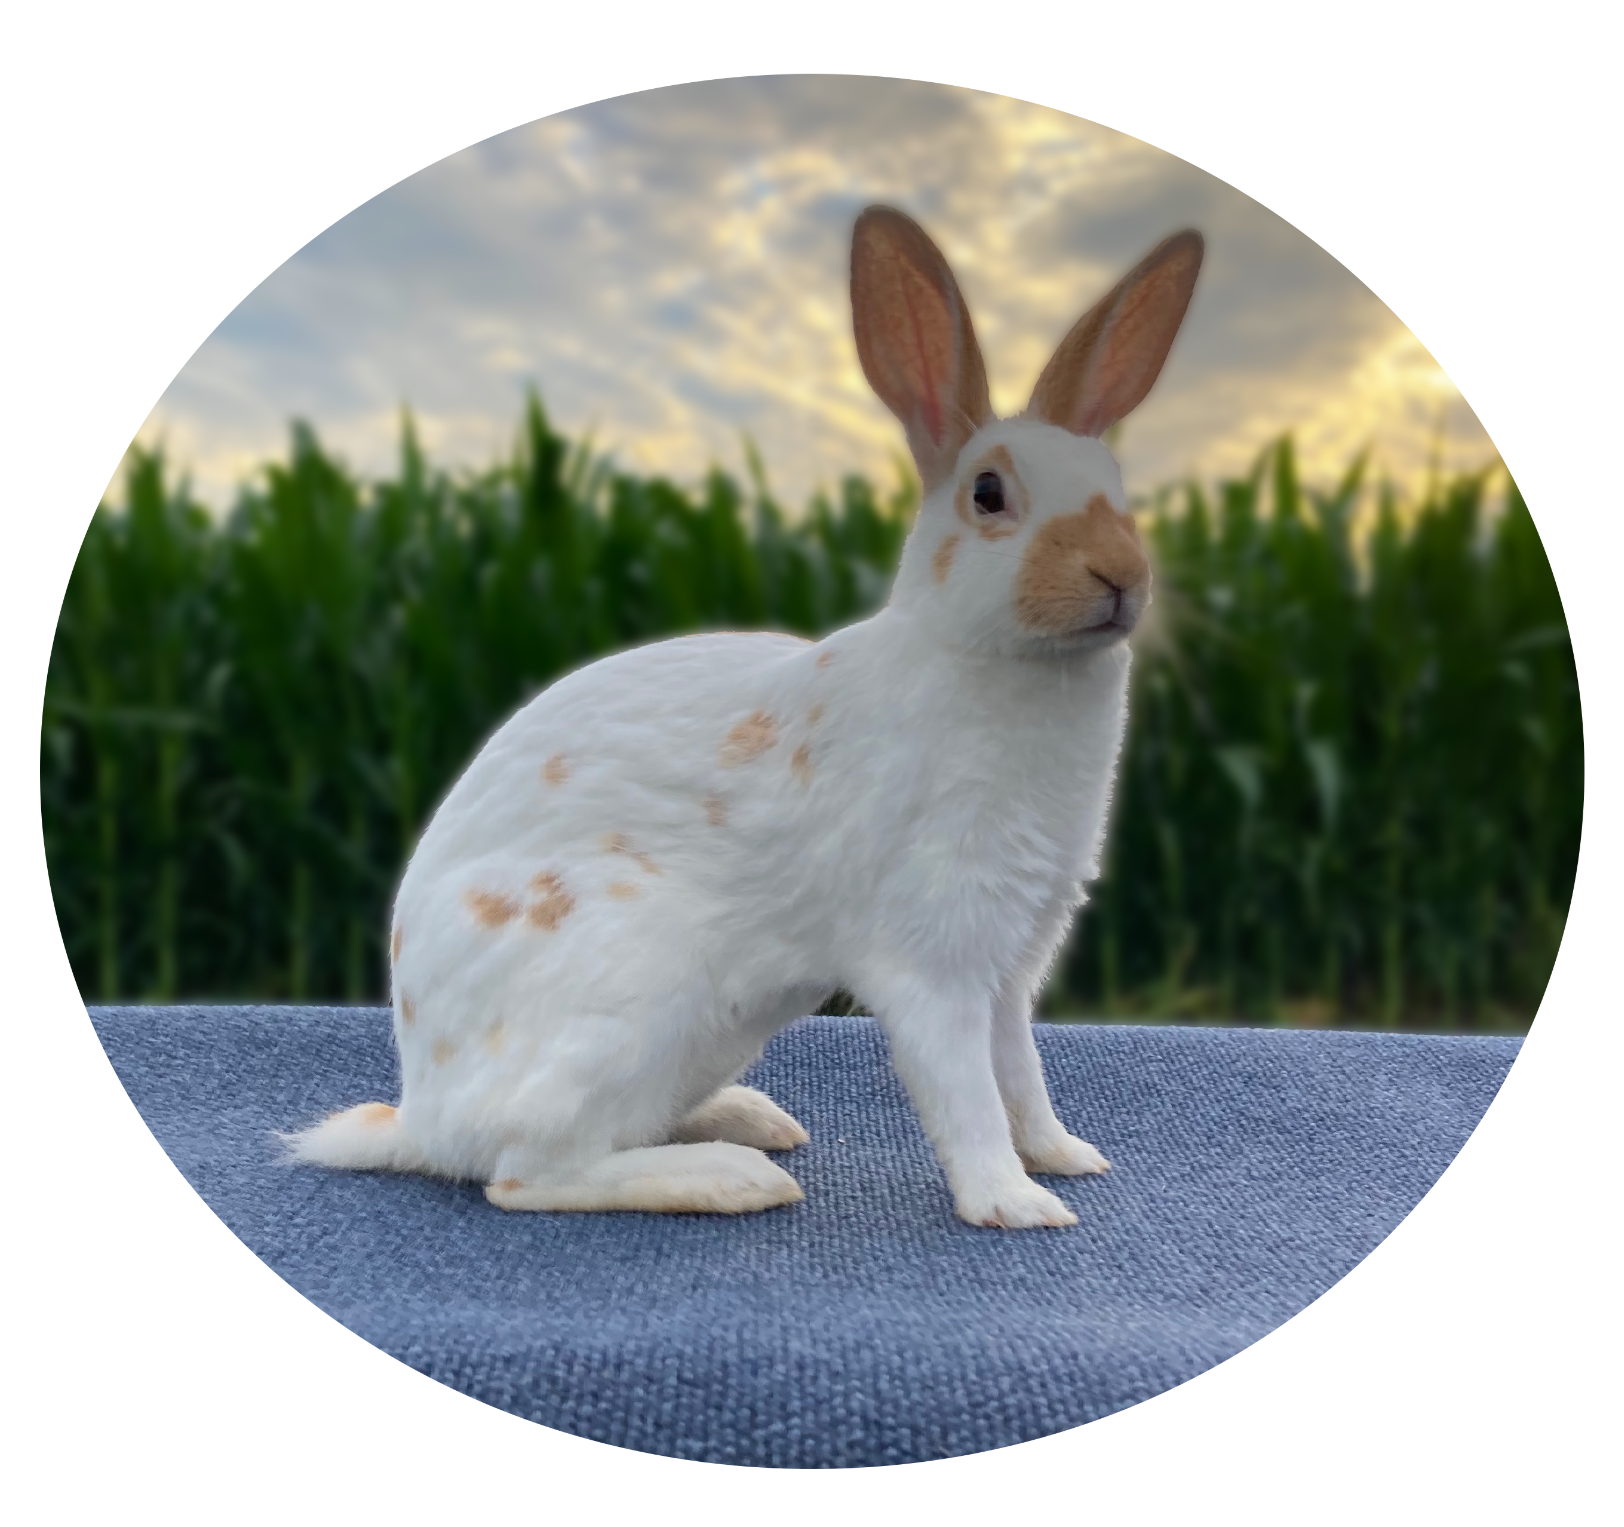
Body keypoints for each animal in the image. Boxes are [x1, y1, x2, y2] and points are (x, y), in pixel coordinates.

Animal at [282, 205, 1203, 1229]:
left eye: (1117, 487)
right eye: (990, 493)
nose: (1120, 577)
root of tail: (424, 1114)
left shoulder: (1012, 964)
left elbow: (1022, 1072)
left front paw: (1066, 1157)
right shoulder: (935, 962)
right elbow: (964, 1089)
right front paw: (1012, 1203)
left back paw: (752, 1120)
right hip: (635, 991)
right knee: (526, 1174)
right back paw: (736, 1176)